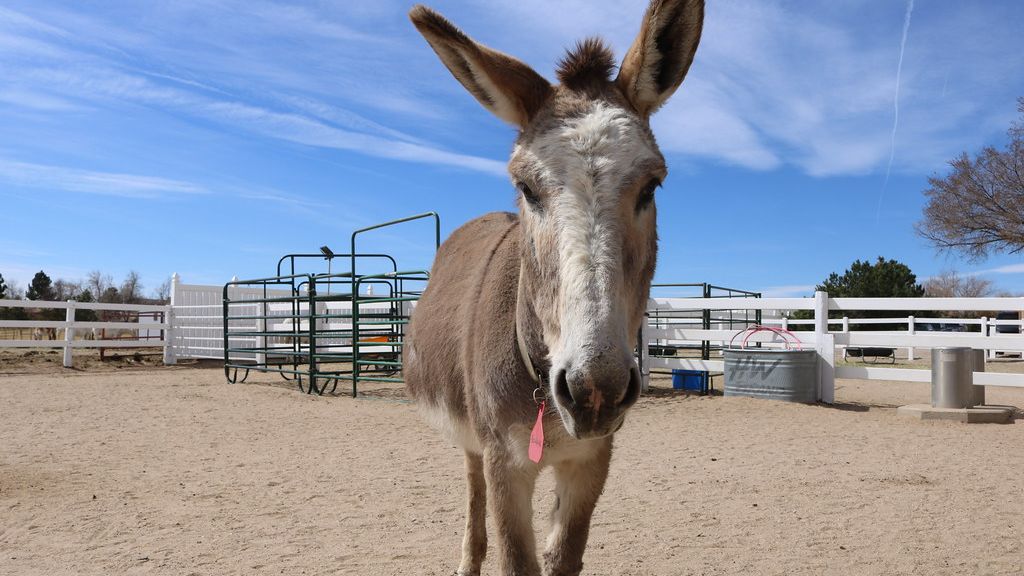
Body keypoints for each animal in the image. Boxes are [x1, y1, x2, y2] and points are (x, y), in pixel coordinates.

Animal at [403, 1, 704, 574]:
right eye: (525, 187)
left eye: (652, 185)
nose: (594, 388)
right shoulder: (505, 461)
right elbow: (516, 556)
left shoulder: (591, 460)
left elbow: (563, 556)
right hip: (474, 438)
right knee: (473, 492)